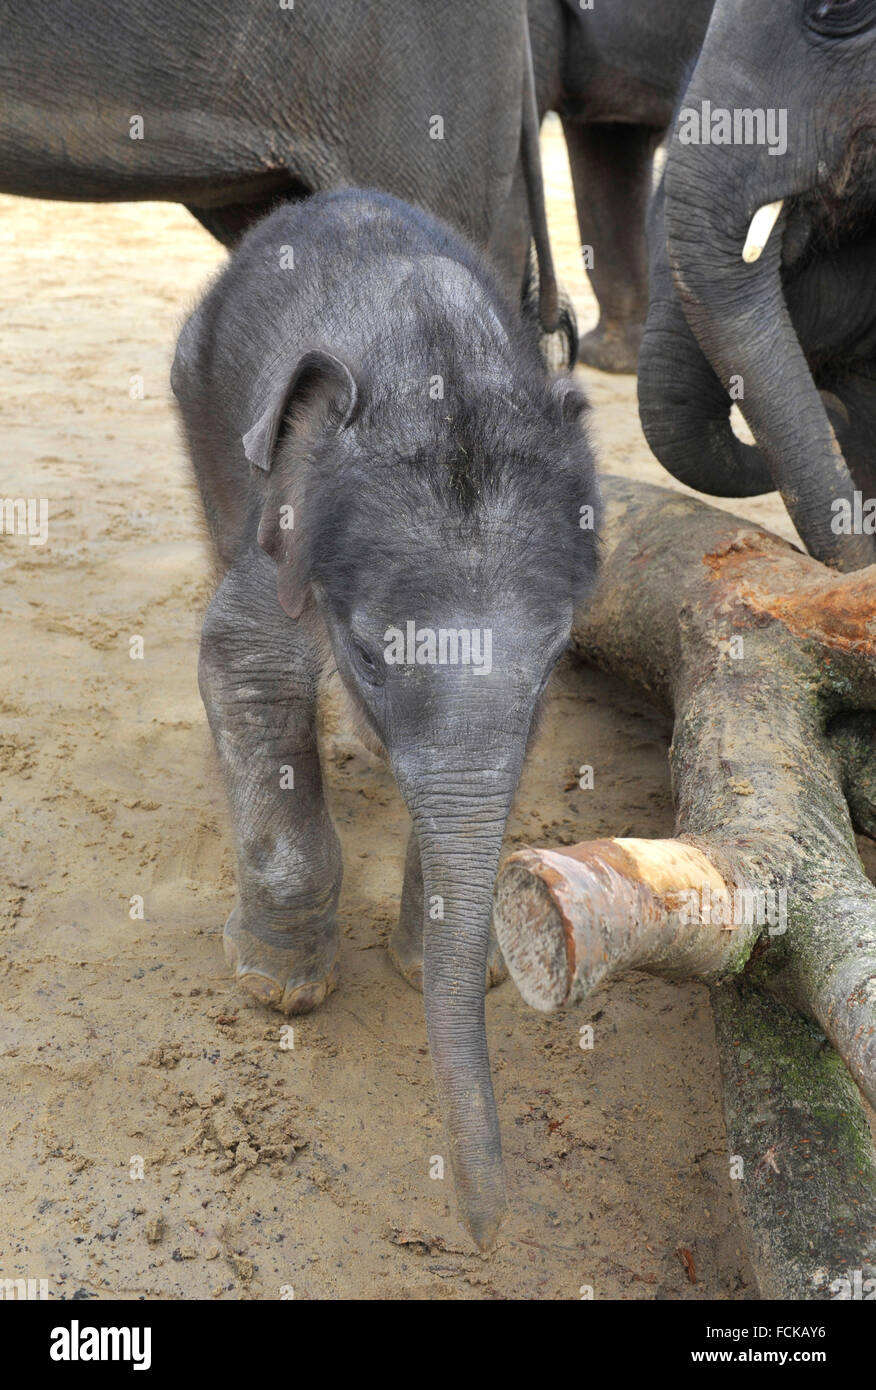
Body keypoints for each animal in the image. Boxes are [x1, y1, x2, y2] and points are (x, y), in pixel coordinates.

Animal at [171, 189, 601, 1247]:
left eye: (556, 655)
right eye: (370, 654)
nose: (484, 1235)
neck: (434, 365)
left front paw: (447, 969)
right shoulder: (285, 529)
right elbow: (243, 665)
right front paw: (276, 989)